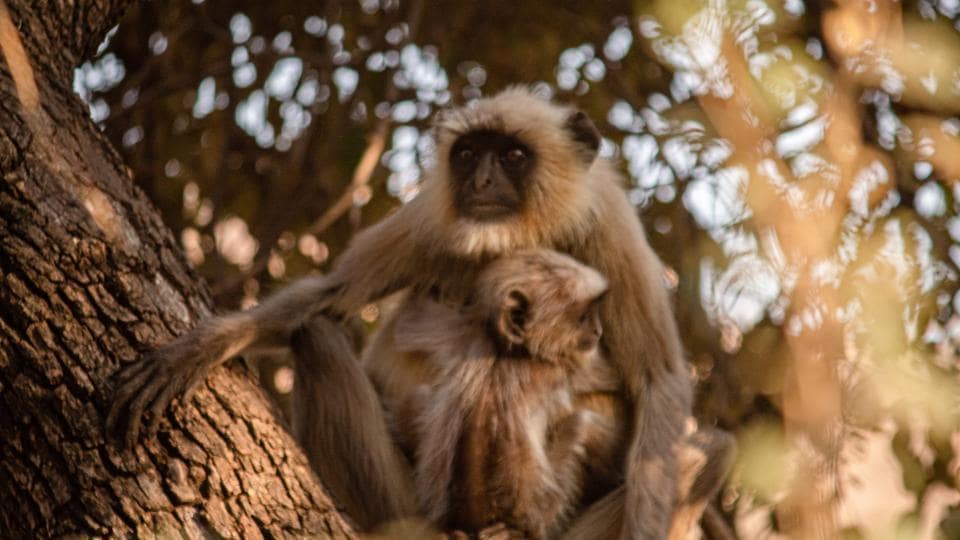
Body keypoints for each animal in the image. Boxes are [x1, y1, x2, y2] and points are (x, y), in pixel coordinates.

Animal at [392, 249, 625, 539]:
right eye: (583, 317)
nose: (597, 331)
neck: (503, 352)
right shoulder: (563, 366)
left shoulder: (464, 332)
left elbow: (410, 321)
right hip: (542, 513)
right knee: (582, 424)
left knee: (422, 396)